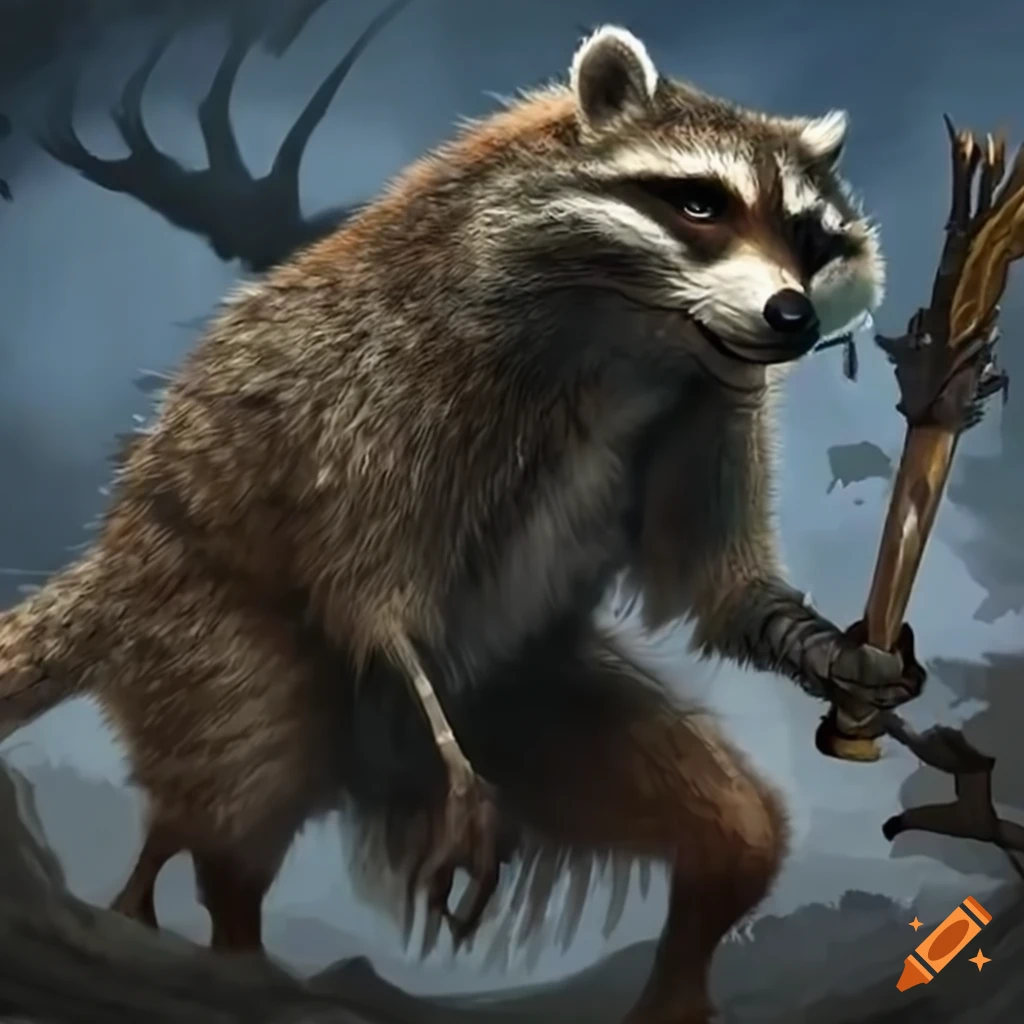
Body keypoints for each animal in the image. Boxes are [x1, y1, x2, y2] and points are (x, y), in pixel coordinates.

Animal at [0, 24, 923, 1023]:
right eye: (699, 204)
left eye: (809, 233)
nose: (793, 316)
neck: (641, 333)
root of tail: (116, 558)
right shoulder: (401, 384)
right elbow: (371, 584)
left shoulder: (711, 404)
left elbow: (718, 587)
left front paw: (828, 649)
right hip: (210, 633)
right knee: (239, 792)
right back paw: (221, 949)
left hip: (530, 699)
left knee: (729, 833)